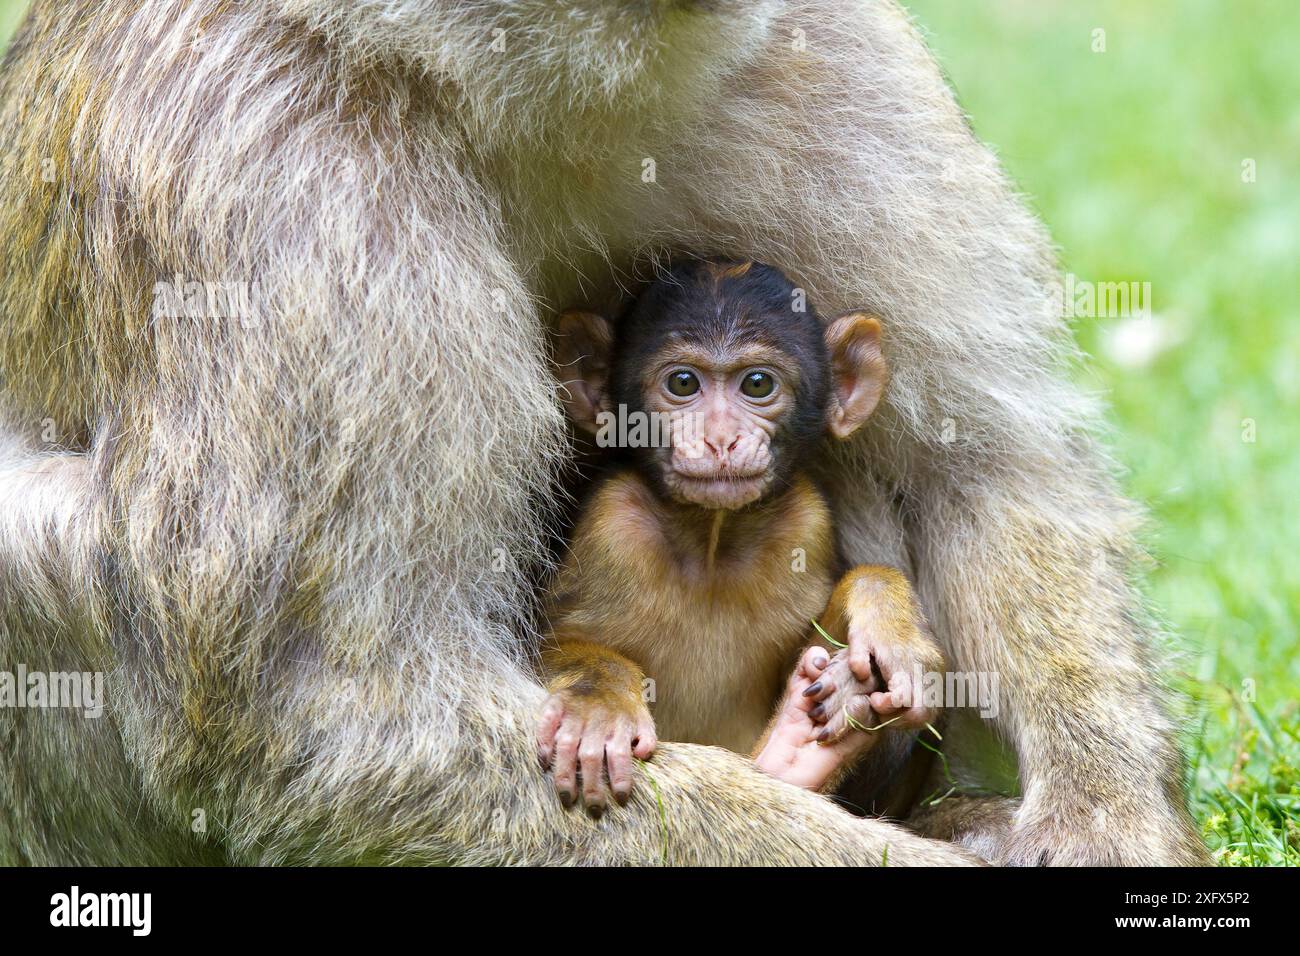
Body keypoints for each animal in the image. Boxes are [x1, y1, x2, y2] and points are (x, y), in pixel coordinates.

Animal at [536, 259, 945, 814]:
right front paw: (596, 700)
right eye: (683, 382)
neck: (712, 541)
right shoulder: (613, 526)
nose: (720, 438)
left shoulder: (805, 525)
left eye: (756, 384)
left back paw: (793, 750)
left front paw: (887, 624)